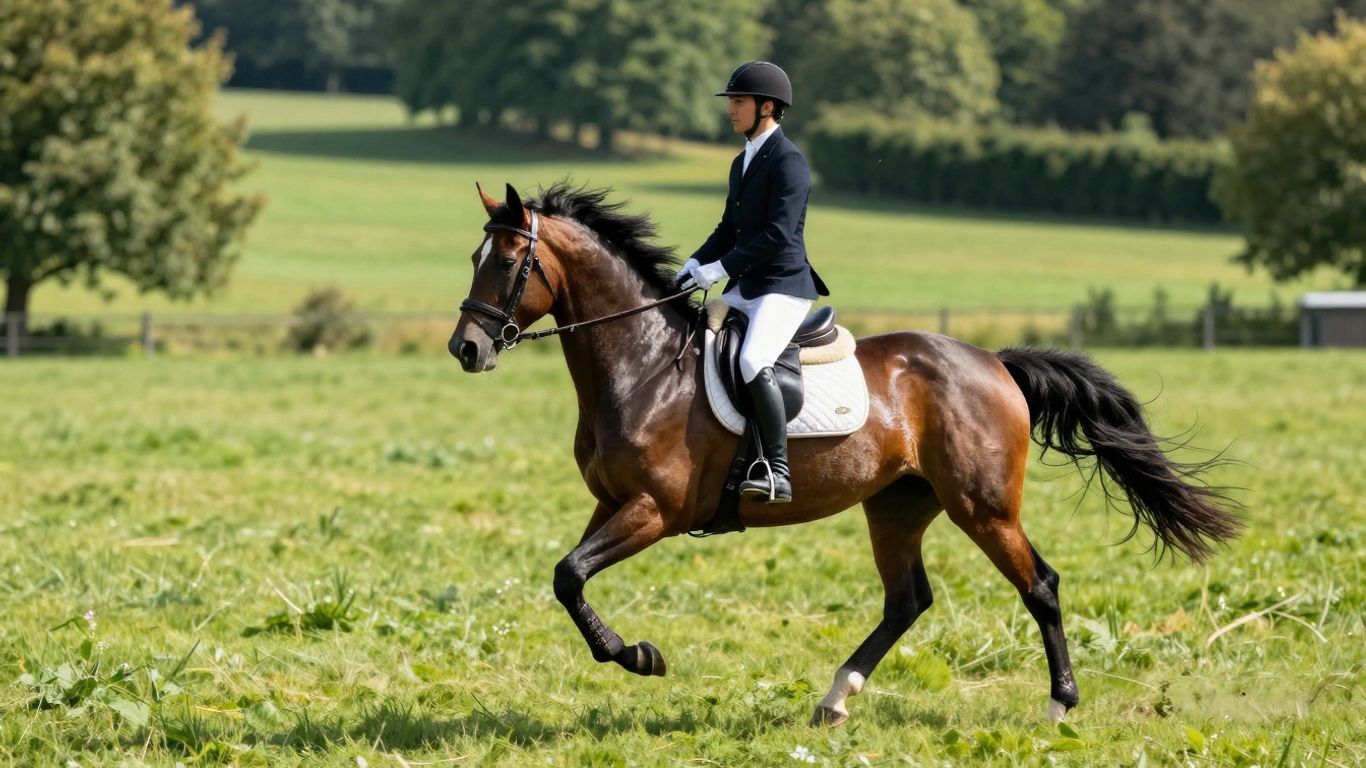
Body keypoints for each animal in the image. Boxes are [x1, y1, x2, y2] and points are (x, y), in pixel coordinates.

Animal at [449, 181, 1242, 727]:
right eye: (474, 256)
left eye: (511, 263)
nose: (467, 349)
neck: (643, 365)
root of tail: (994, 362)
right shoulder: (613, 503)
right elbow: (569, 579)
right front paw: (637, 655)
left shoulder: (654, 510)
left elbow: (569, 574)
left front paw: (640, 657)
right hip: (897, 506)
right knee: (907, 600)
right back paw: (836, 698)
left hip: (982, 506)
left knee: (1039, 585)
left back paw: (1058, 705)